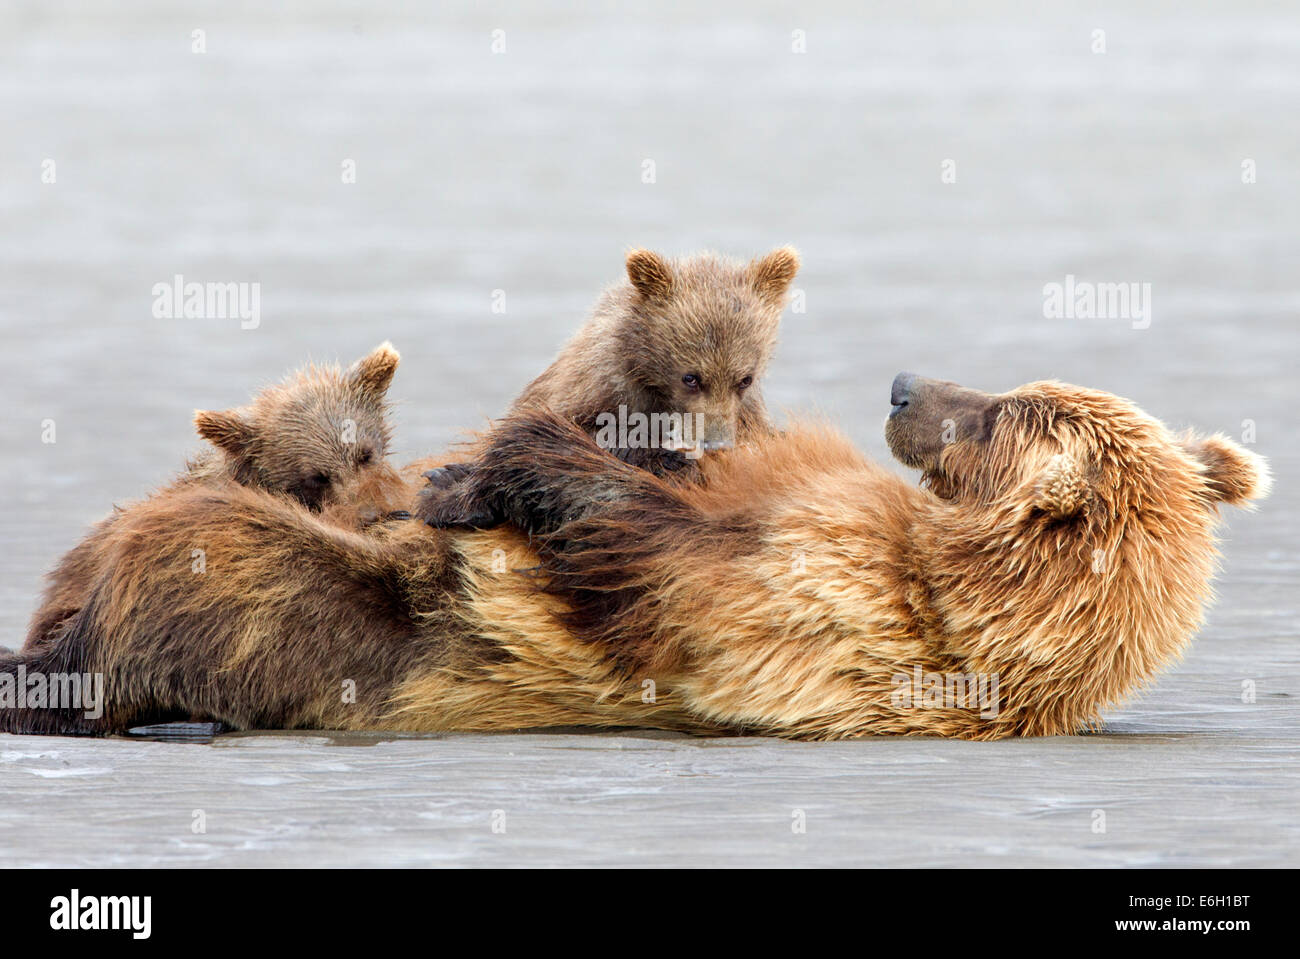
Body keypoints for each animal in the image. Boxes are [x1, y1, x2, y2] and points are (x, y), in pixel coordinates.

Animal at [1, 375, 1267, 740]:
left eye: (995, 411)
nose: (907, 385)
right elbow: (686, 462)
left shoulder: (823, 611)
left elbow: (642, 547)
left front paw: (485, 471)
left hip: (304, 608)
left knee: (206, 552)